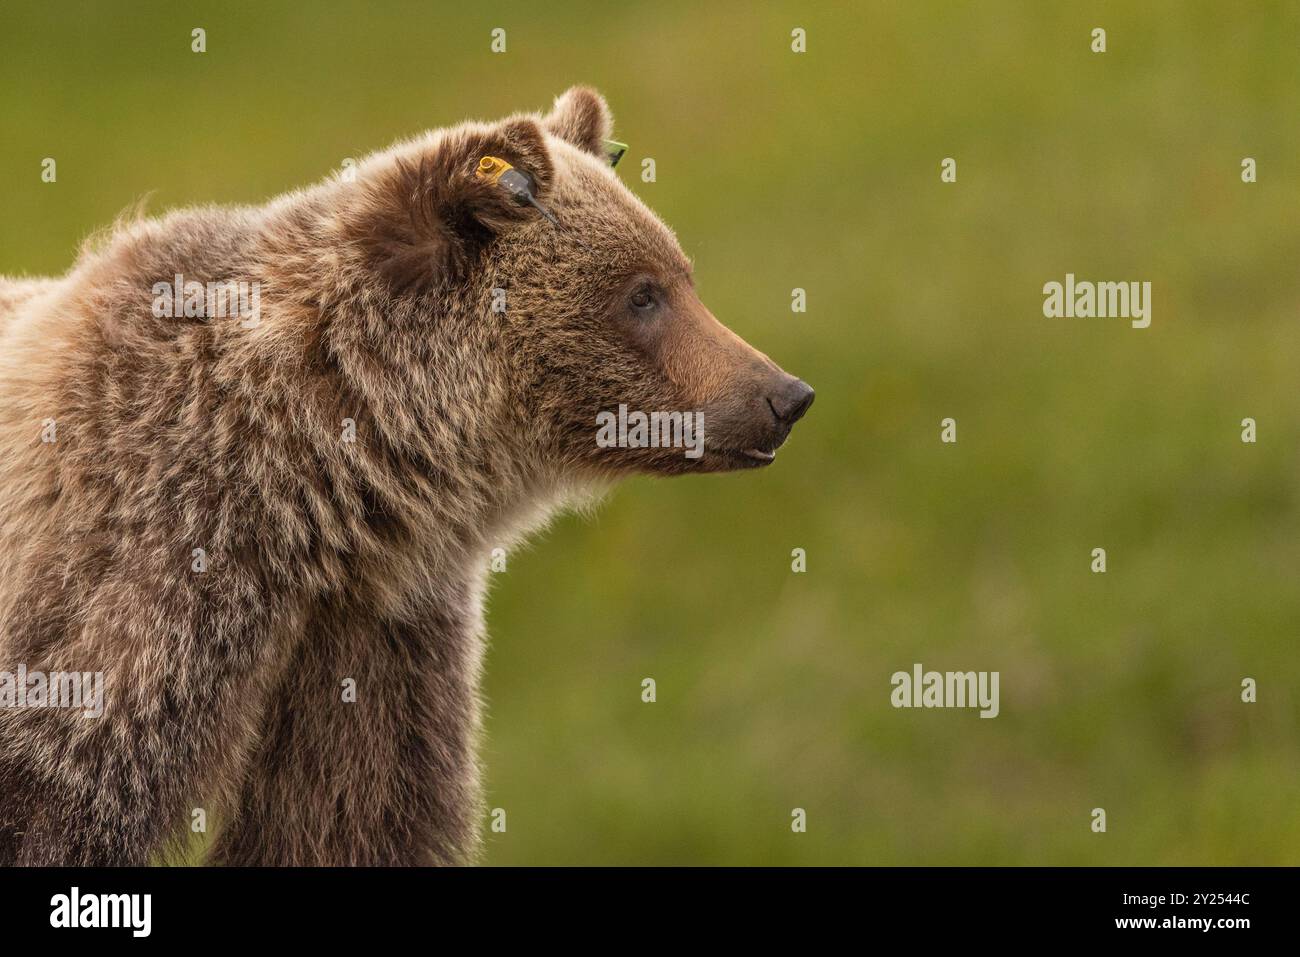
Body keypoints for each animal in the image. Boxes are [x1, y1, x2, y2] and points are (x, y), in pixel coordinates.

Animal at [0, 87, 813, 866]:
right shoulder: (137, 570)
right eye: (641, 294)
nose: (784, 396)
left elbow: (345, 819)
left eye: (683, 277)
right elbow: (61, 782)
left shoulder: (375, 638)